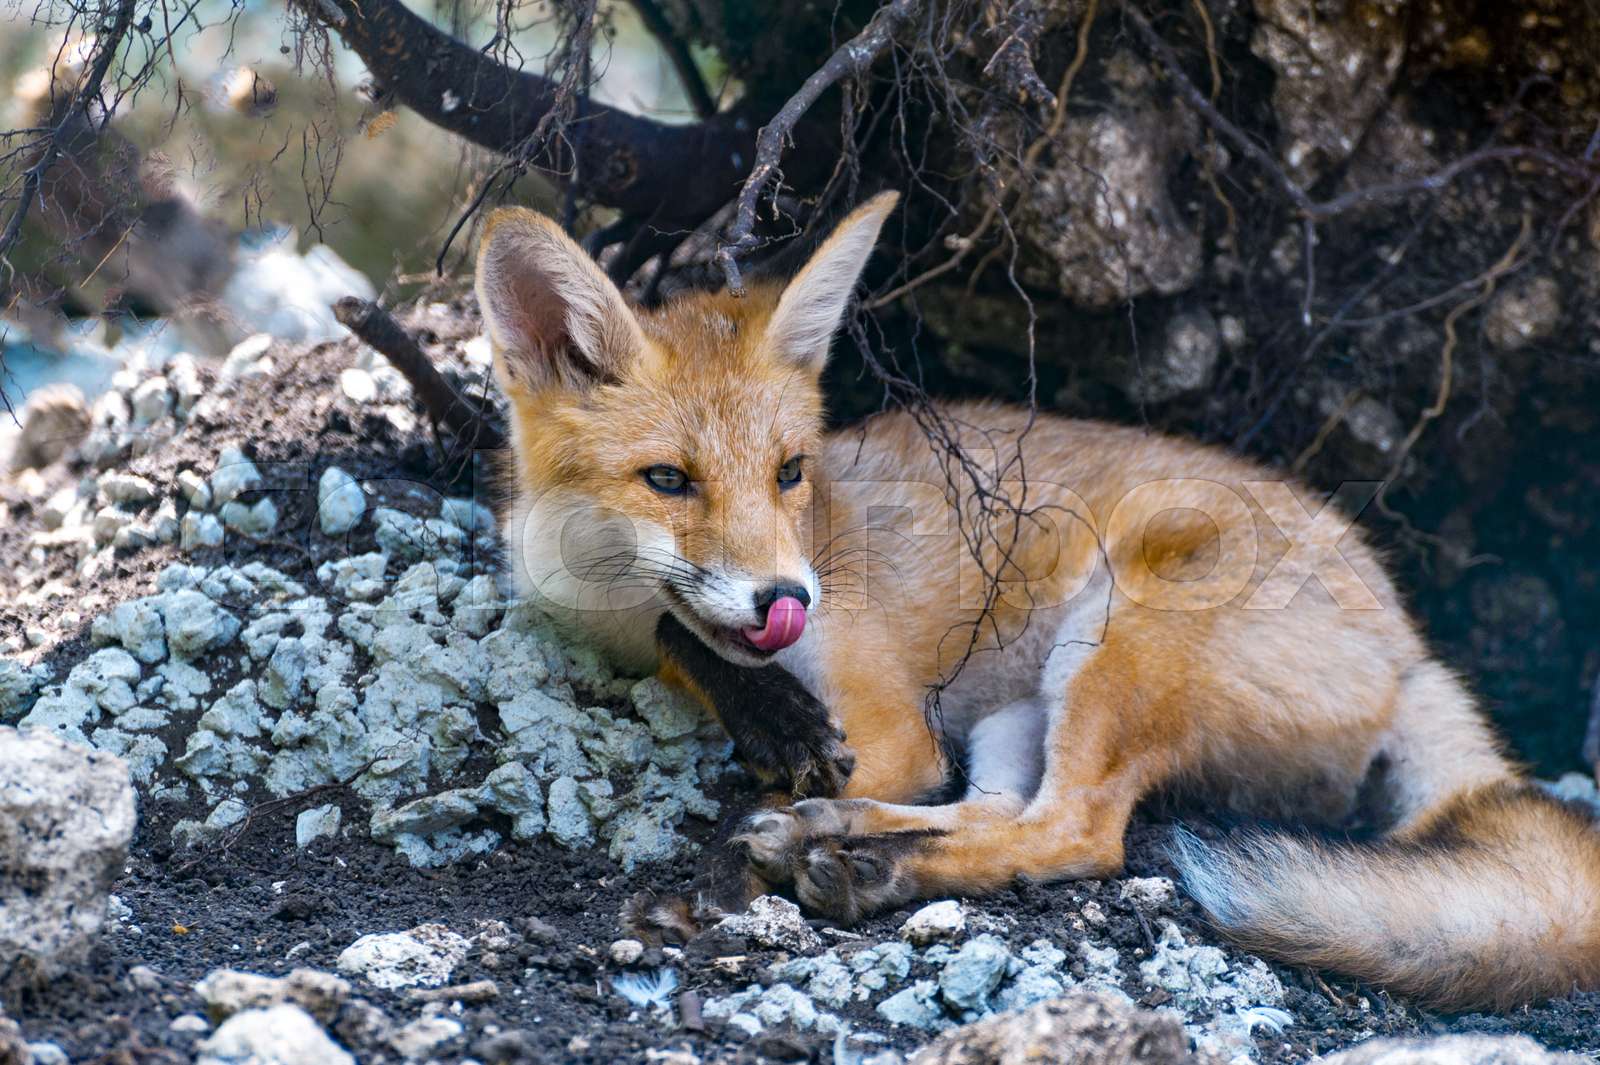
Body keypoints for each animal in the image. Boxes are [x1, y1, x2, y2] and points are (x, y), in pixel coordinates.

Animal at [474, 191, 1600, 1012]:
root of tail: (1413, 645)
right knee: (996, 808)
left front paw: (710, 877)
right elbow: (711, 666)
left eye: (789, 472)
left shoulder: (886, 718)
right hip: (1021, 711)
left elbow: (774, 762)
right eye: (668, 480)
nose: (785, 596)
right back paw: (846, 841)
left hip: (1120, 637)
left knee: (1076, 834)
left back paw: (859, 866)